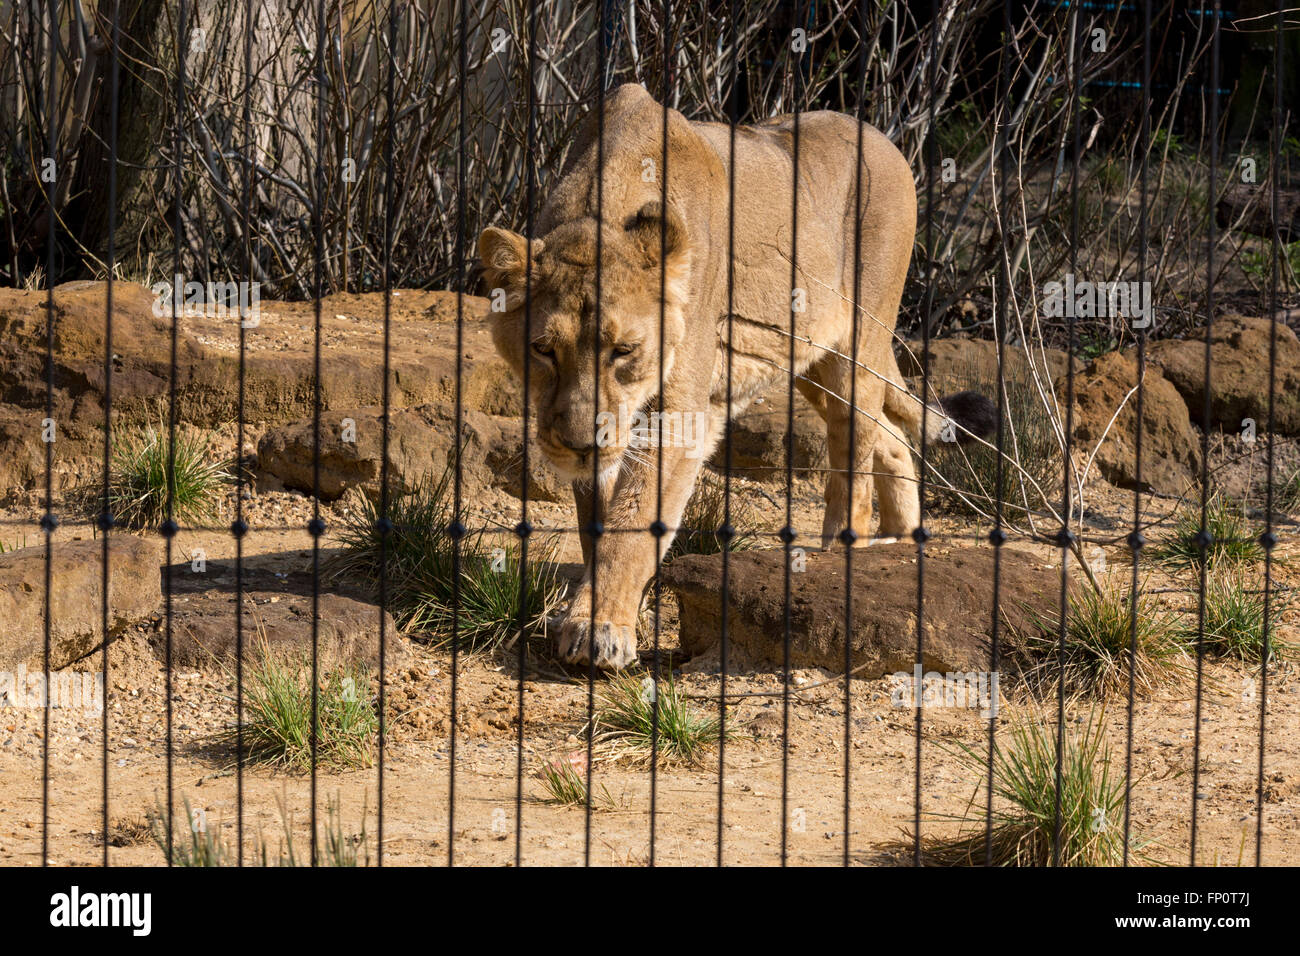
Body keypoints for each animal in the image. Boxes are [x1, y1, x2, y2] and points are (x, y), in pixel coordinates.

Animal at [479, 83, 995, 670]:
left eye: (625, 350)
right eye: (543, 350)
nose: (579, 444)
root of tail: (884, 139)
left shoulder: (678, 412)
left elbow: (633, 522)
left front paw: (600, 629)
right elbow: (601, 523)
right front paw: (604, 608)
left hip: (858, 343)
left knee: (855, 458)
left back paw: (841, 553)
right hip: (807, 359)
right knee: (889, 437)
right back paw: (902, 542)